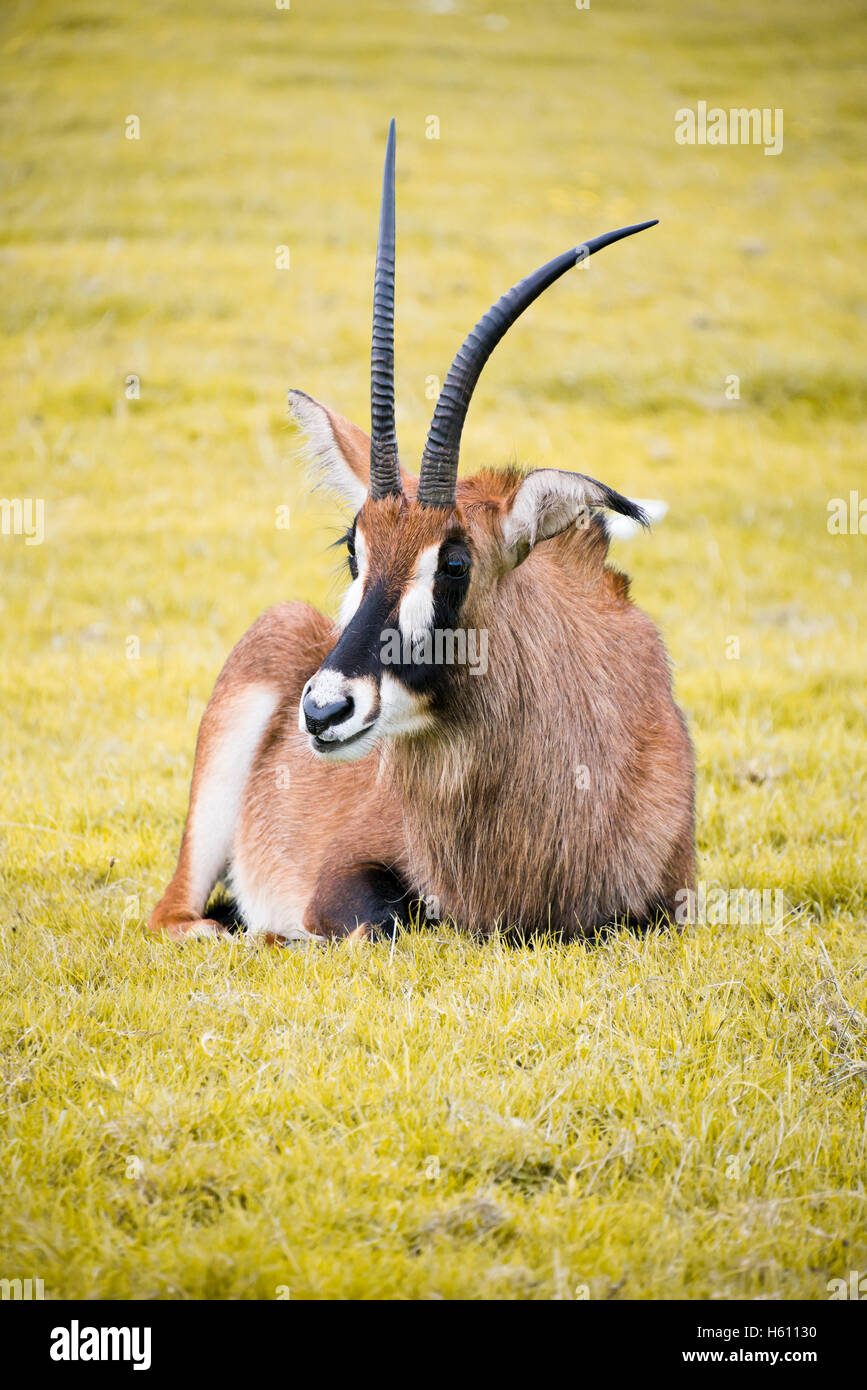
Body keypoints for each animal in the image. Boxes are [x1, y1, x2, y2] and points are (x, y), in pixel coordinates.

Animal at [149, 121, 695, 946]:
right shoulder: (345, 882)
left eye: (455, 563)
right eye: (353, 550)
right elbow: (381, 920)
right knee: (178, 915)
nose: (322, 711)